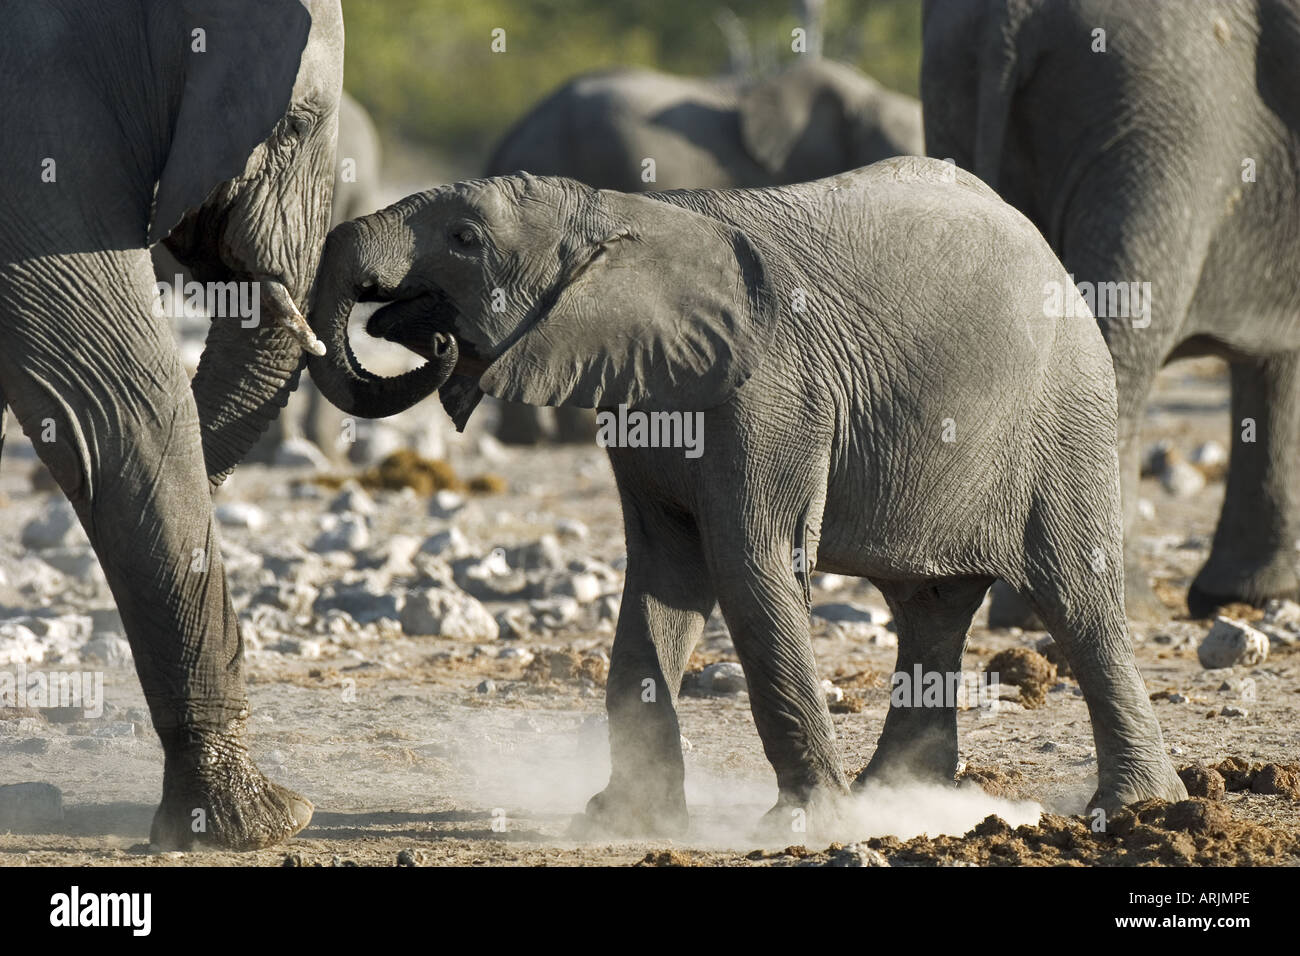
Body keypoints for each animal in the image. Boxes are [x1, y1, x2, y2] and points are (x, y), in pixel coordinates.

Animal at [303, 162, 1186, 834]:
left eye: (465, 238)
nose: (434, 340)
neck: (623, 212)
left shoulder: (772, 397)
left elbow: (749, 568)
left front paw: (806, 826)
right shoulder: (648, 398)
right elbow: (663, 578)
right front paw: (622, 820)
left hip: (1066, 413)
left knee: (1075, 598)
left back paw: (1129, 812)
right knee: (930, 609)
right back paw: (902, 801)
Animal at [922, 0, 1300, 621]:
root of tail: (1009, 16)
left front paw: (1244, 595)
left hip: (955, 87)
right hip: (1161, 121)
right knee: (1114, 333)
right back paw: (1113, 602)